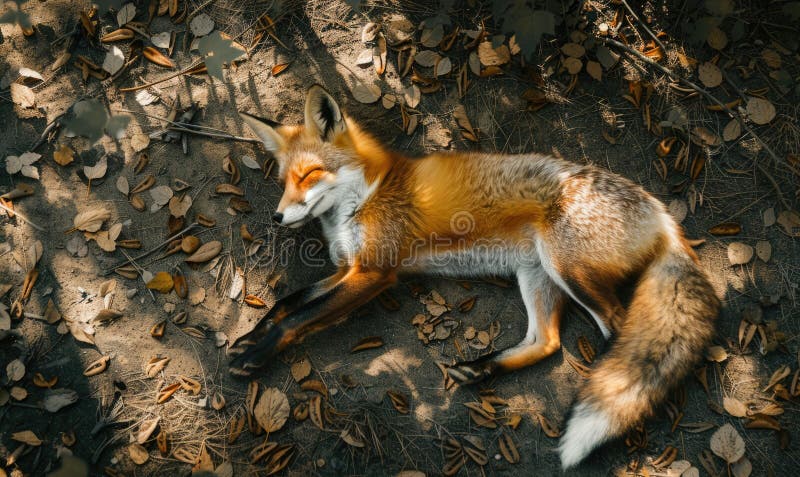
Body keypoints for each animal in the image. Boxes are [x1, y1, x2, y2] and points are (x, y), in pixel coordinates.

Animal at [228, 85, 719, 469]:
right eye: (283, 180)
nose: (277, 216)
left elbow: (298, 318)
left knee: (616, 332)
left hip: (570, 271)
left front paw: (256, 355)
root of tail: (661, 213)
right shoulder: (350, 268)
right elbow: (287, 303)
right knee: (546, 341)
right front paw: (249, 336)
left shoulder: (375, 273)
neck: (366, 197)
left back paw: (601, 379)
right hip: (538, 275)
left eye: (310, 174)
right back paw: (480, 369)